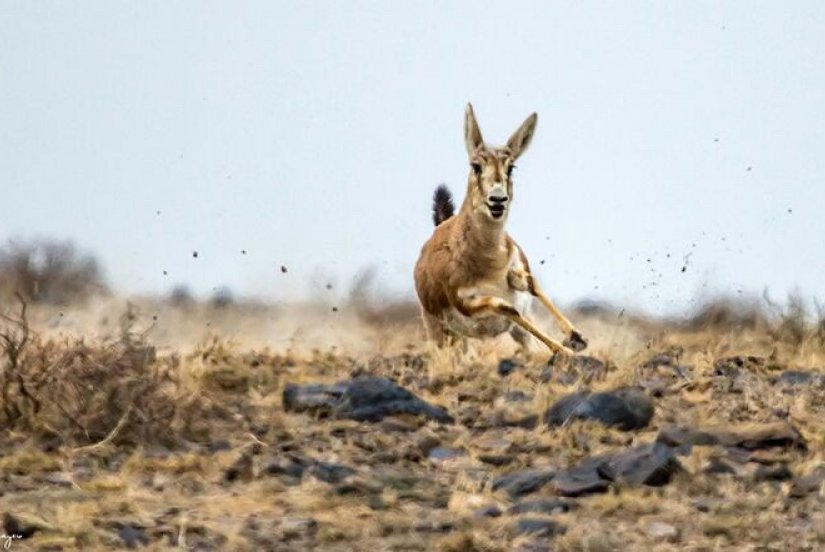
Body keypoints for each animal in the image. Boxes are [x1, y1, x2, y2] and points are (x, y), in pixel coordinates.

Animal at [414, 103, 587, 357]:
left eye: (511, 167)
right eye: (476, 166)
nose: (497, 200)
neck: (488, 264)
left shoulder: (517, 269)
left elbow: (531, 284)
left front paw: (576, 337)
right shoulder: (467, 302)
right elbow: (507, 307)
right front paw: (564, 349)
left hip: (511, 333)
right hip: (444, 337)